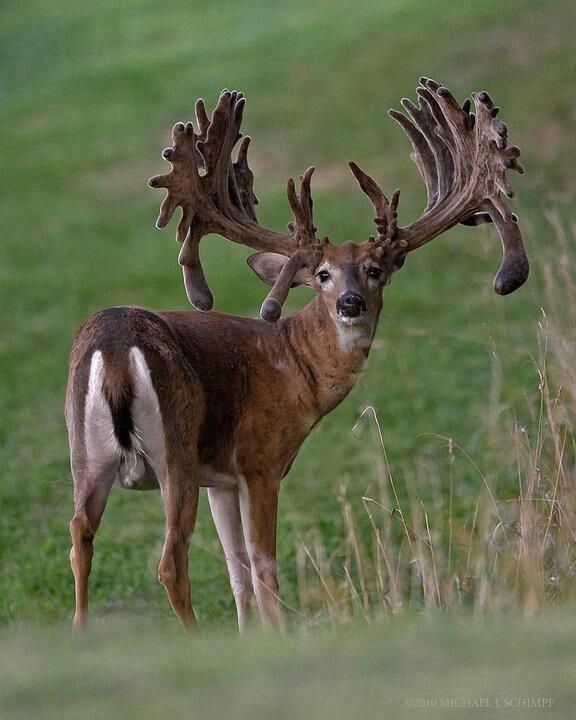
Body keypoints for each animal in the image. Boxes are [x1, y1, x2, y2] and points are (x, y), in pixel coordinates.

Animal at [66, 78, 528, 632]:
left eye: (375, 270)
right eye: (323, 274)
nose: (351, 303)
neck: (295, 367)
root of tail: (114, 346)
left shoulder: (217, 476)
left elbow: (238, 574)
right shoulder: (259, 459)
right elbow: (263, 569)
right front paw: (275, 634)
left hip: (86, 454)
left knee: (79, 539)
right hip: (173, 447)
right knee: (171, 561)